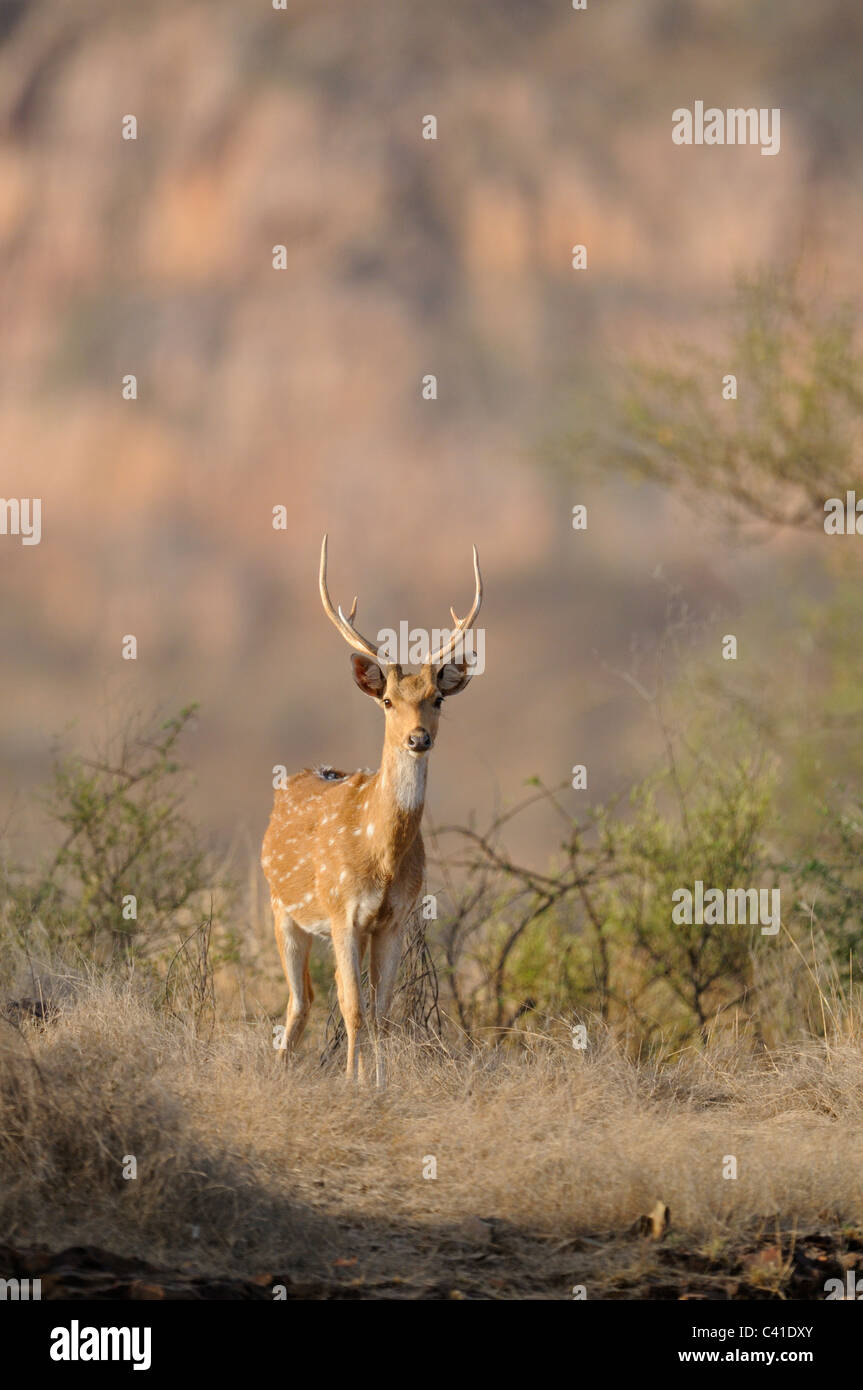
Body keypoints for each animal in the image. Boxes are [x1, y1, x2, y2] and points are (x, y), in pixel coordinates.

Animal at [261, 535, 482, 1085]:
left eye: (437, 699)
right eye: (386, 700)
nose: (418, 738)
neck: (377, 856)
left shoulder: (394, 919)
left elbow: (382, 1013)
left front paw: (377, 1082)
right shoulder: (342, 911)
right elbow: (353, 1008)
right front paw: (352, 1083)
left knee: (313, 1000)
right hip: (282, 908)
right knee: (301, 1001)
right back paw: (280, 1070)